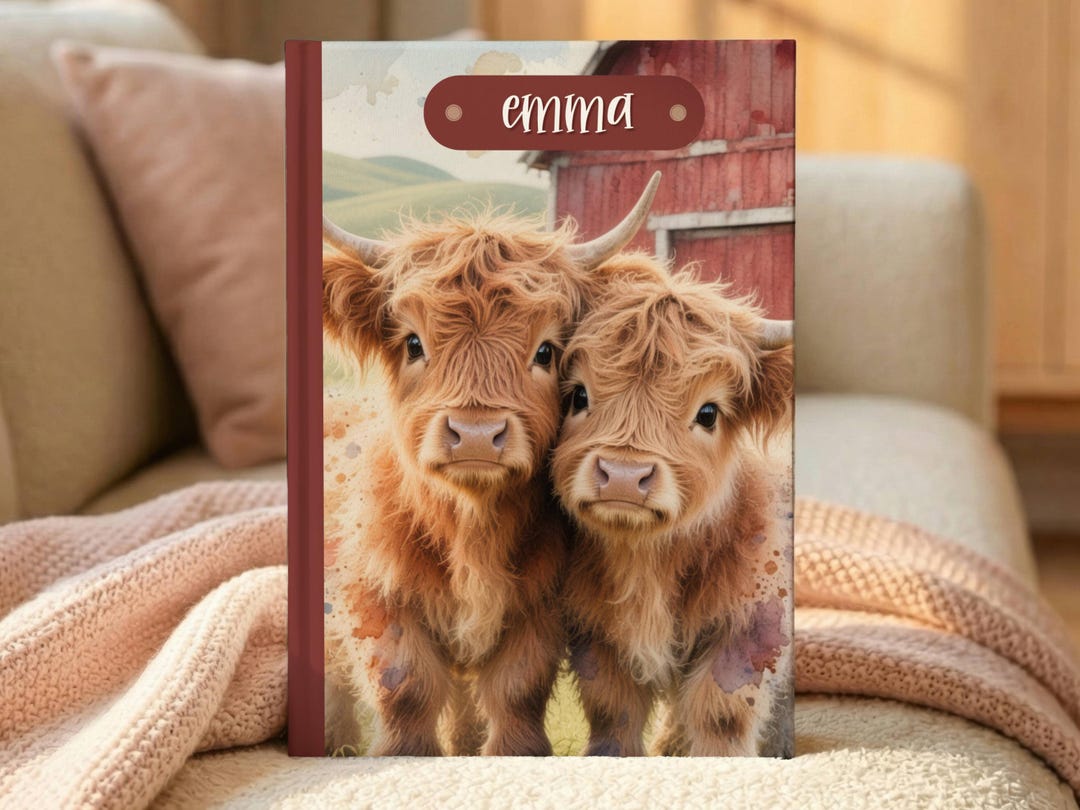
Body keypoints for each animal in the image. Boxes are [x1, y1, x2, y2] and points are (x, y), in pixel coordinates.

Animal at [320, 173, 661, 756]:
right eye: (413, 343)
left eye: (546, 351)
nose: (476, 435)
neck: (470, 530)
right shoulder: (376, 599)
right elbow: (407, 689)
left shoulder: (540, 608)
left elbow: (515, 691)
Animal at [551, 253, 794, 757]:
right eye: (578, 395)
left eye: (708, 412)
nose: (624, 476)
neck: (646, 562)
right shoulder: (595, 633)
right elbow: (614, 715)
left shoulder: (750, 631)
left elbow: (718, 716)